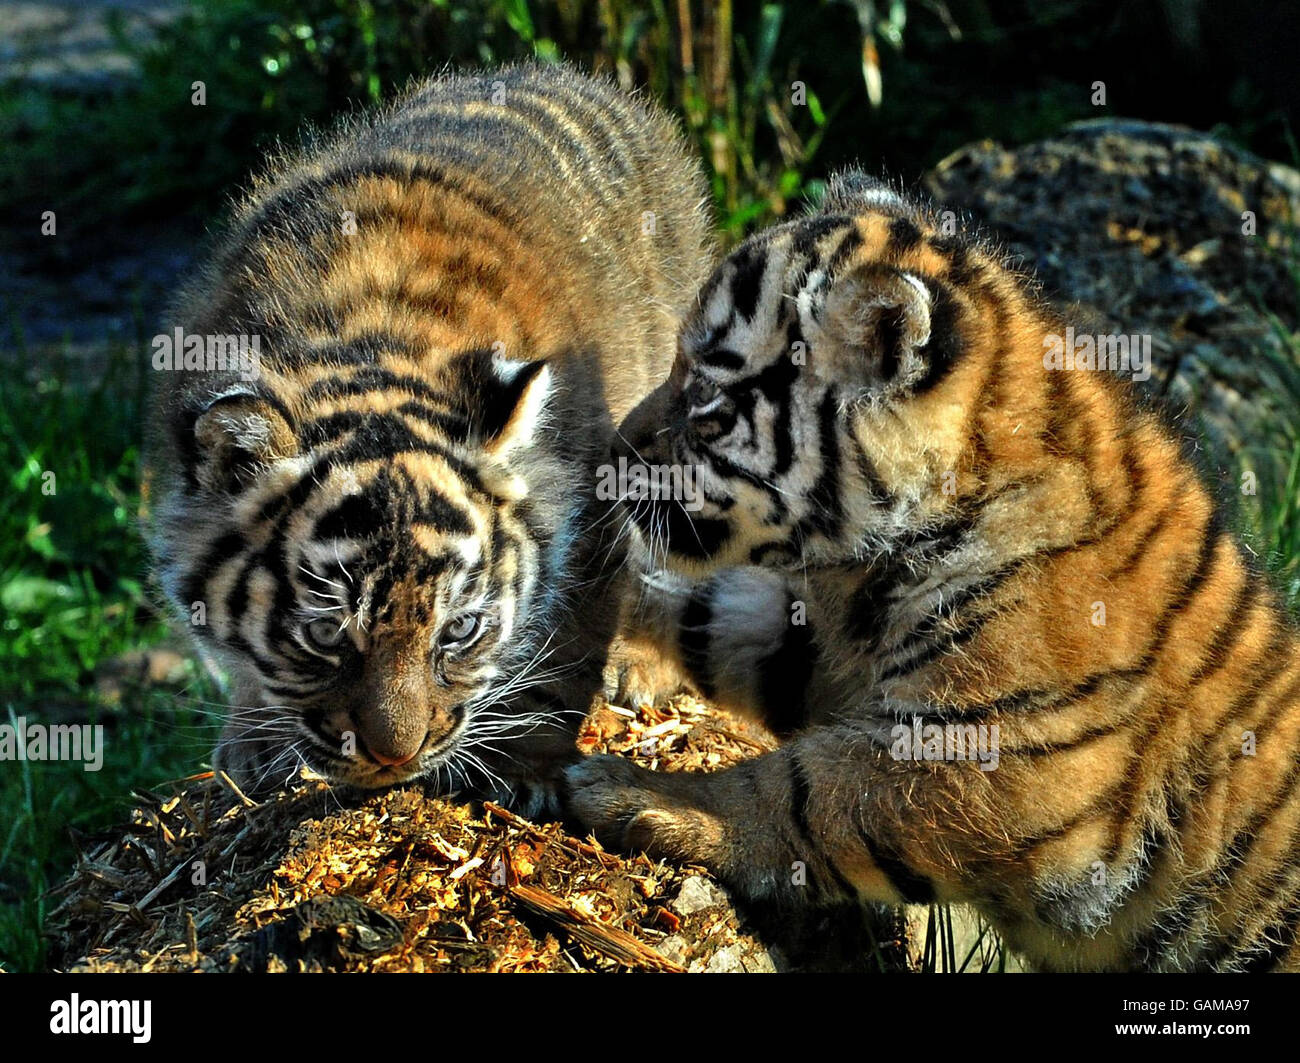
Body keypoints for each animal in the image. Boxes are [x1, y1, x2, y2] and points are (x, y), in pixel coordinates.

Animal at [142, 64, 712, 809]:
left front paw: (525, 767)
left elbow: (567, 648)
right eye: (324, 633)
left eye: (460, 629)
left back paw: (641, 668)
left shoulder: (592, 518)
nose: (394, 758)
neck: (365, 344)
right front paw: (252, 743)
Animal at [564, 171, 1300, 971]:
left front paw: (632, 793)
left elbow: (795, 793)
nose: (614, 447)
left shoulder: (1001, 759)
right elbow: (715, 614)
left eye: (706, 402)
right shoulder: (841, 655)